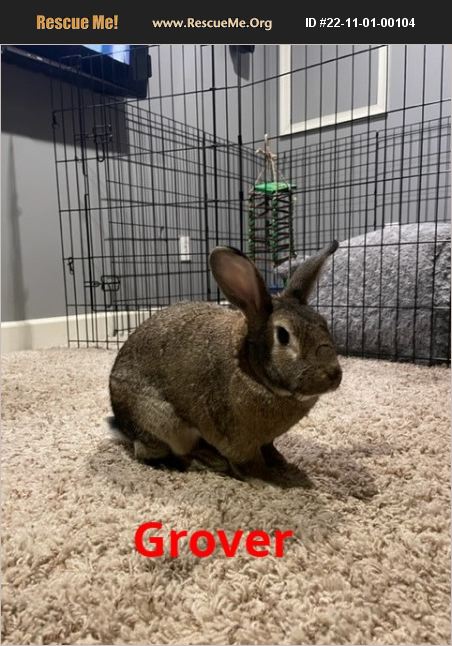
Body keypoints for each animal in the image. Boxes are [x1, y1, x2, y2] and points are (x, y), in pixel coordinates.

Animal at [109, 241, 342, 479]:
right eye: (283, 336)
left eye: (323, 323)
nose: (334, 375)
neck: (251, 370)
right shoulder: (239, 441)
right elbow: (251, 463)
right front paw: (267, 478)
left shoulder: (265, 440)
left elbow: (269, 448)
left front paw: (282, 463)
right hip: (167, 425)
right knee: (159, 452)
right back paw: (205, 462)